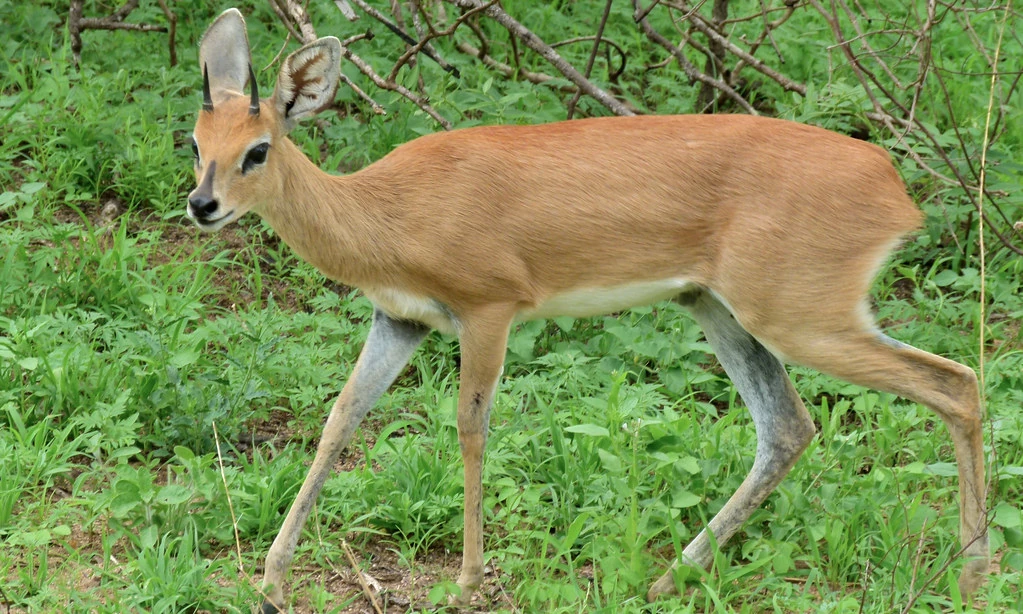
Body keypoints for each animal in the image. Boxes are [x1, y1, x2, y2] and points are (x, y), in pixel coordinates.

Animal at [188, 8, 988, 612]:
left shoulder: (489, 310)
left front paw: (467, 583)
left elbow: (470, 428)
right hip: (719, 310)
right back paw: (667, 578)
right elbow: (341, 419)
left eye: (258, 150)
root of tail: (891, 185)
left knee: (956, 383)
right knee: (789, 428)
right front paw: (270, 580)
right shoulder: (402, 320)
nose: (202, 205)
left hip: (802, 319)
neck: (387, 211)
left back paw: (976, 575)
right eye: (195, 142)